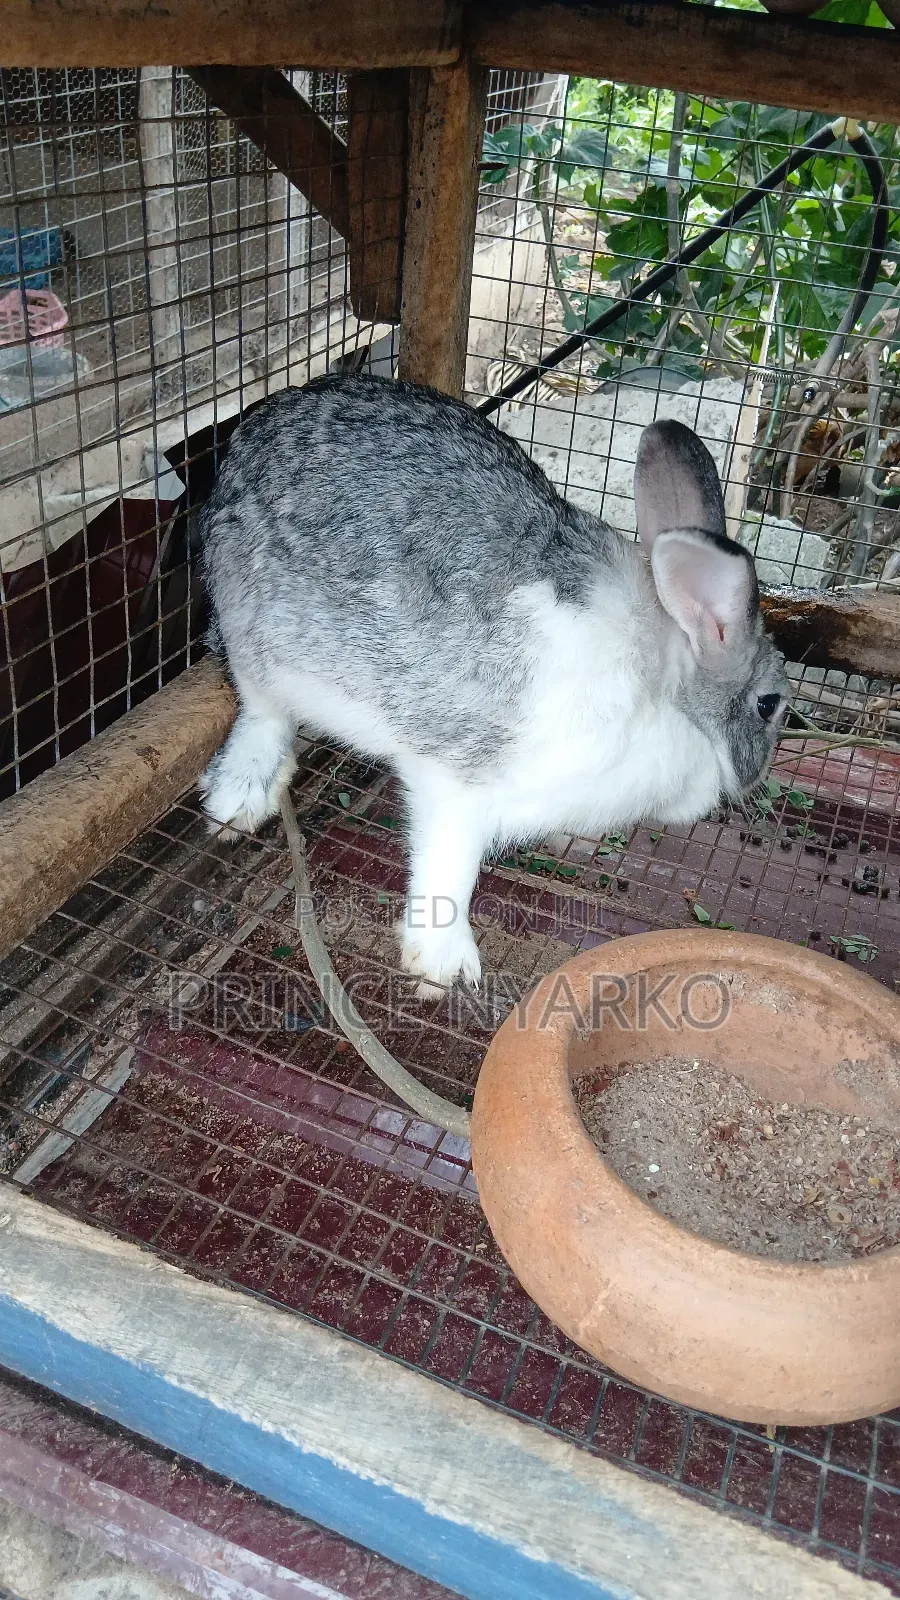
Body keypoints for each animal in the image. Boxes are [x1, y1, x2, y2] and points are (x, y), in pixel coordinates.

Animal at [199, 374, 788, 994]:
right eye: (769, 705)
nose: (755, 781)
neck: (658, 684)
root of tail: (245, 439)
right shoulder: (456, 782)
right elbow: (449, 865)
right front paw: (444, 966)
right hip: (255, 640)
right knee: (263, 716)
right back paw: (239, 798)